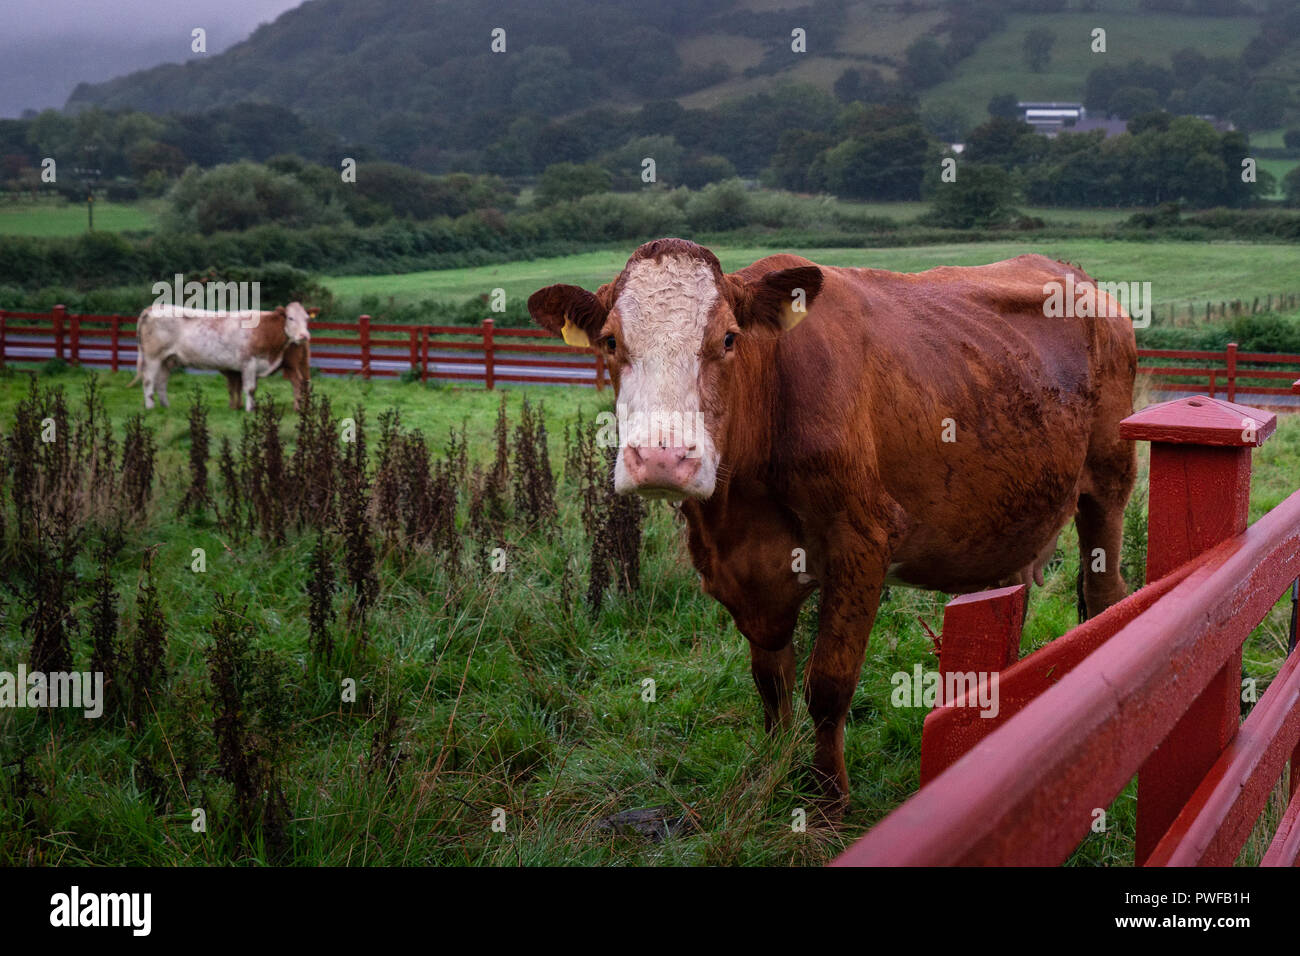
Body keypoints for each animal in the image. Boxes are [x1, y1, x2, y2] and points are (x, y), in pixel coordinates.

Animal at [129, 303, 311, 411]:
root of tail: (155, 307)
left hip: (167, 360)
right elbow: (250, 389)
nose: (304, 336)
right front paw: (249, 410)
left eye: (307, 319)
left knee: (161, 382)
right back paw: (150, 406)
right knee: (148, 381)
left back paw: (166, 406)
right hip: (152, 357)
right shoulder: (248, 363)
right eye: (290, 318)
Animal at [528, 238, 1136, 814]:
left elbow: (828, 683)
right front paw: (773, 772)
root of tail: (1075, 276)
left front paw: (826, 801)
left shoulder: (862, 541)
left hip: (1108, 482)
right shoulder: (746, 572)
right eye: (611, 341)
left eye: (728, 339)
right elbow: (771, 681)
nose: (661, 458)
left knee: (1107, 592)